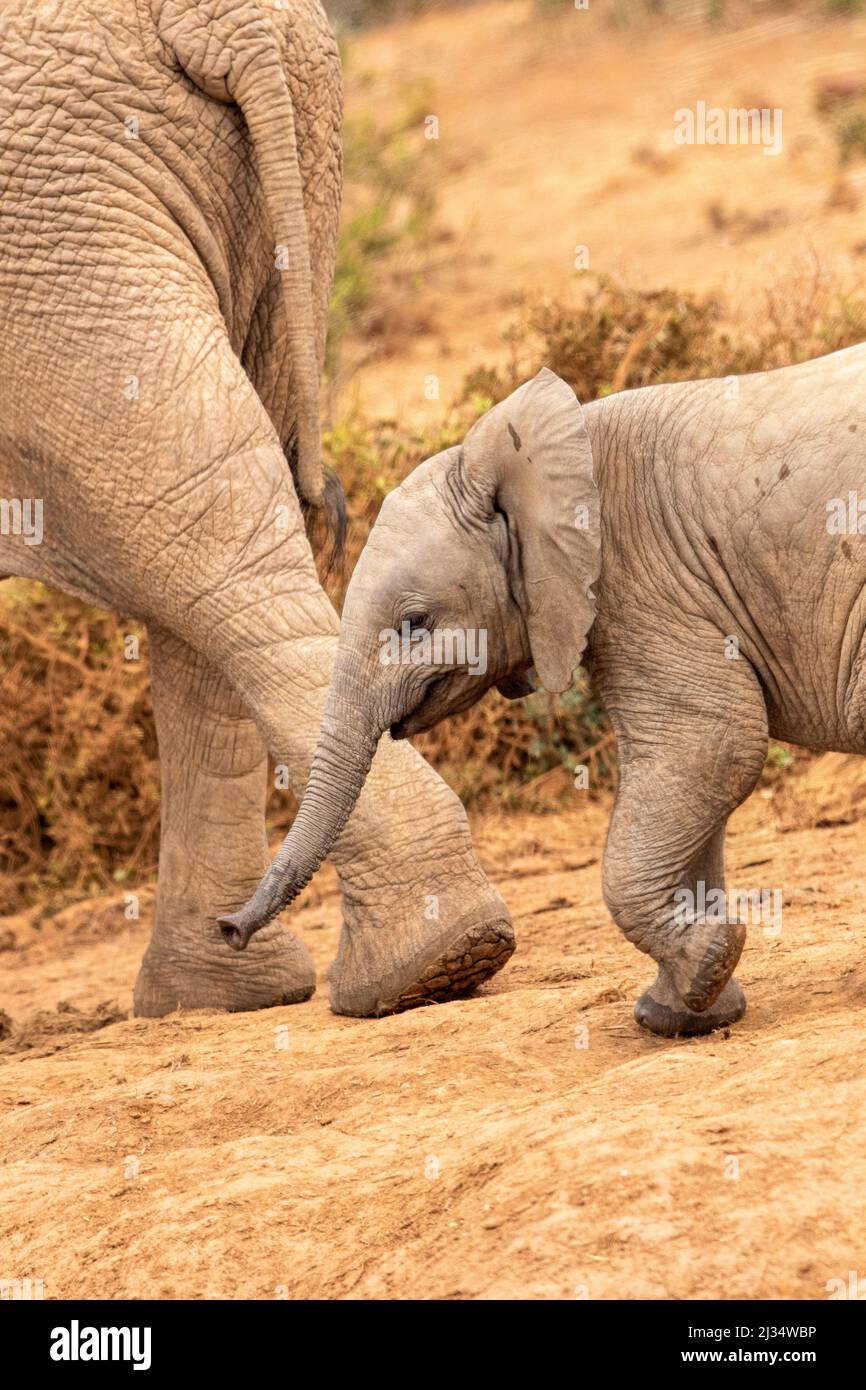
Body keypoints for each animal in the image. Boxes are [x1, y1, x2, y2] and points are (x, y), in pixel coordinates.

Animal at [0, 0, 514, 1017]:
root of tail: (222, 21)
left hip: (47, 225)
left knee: (194, 522)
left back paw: (419, 964)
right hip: (274, 171)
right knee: (225, 506)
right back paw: (246, 985)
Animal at [221, 348, 866, 1036]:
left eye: (415, 624)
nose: (228, 929)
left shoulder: (646, 578)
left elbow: (710, 747)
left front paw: (705, 965)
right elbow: (698, 772)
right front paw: (686, 1012)